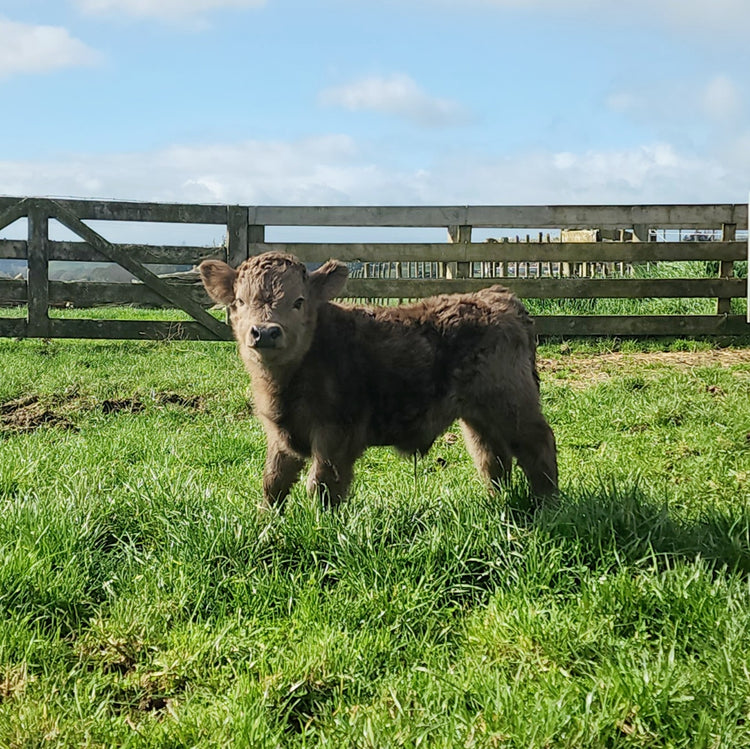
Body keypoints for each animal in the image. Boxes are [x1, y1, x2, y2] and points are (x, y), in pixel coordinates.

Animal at [199, 251, 558, 508]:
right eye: (240, 301)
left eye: (299, 301)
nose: (265, 332)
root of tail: (497, 295)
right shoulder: (281, 435)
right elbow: (272, 483)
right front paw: (265, 526)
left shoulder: (336, 434)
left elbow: (322, 485)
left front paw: (320, 528)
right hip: (478, 414)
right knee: (492, 456)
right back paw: (497, 502)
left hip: (512, 402)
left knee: (537, 444)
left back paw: (548, 504)